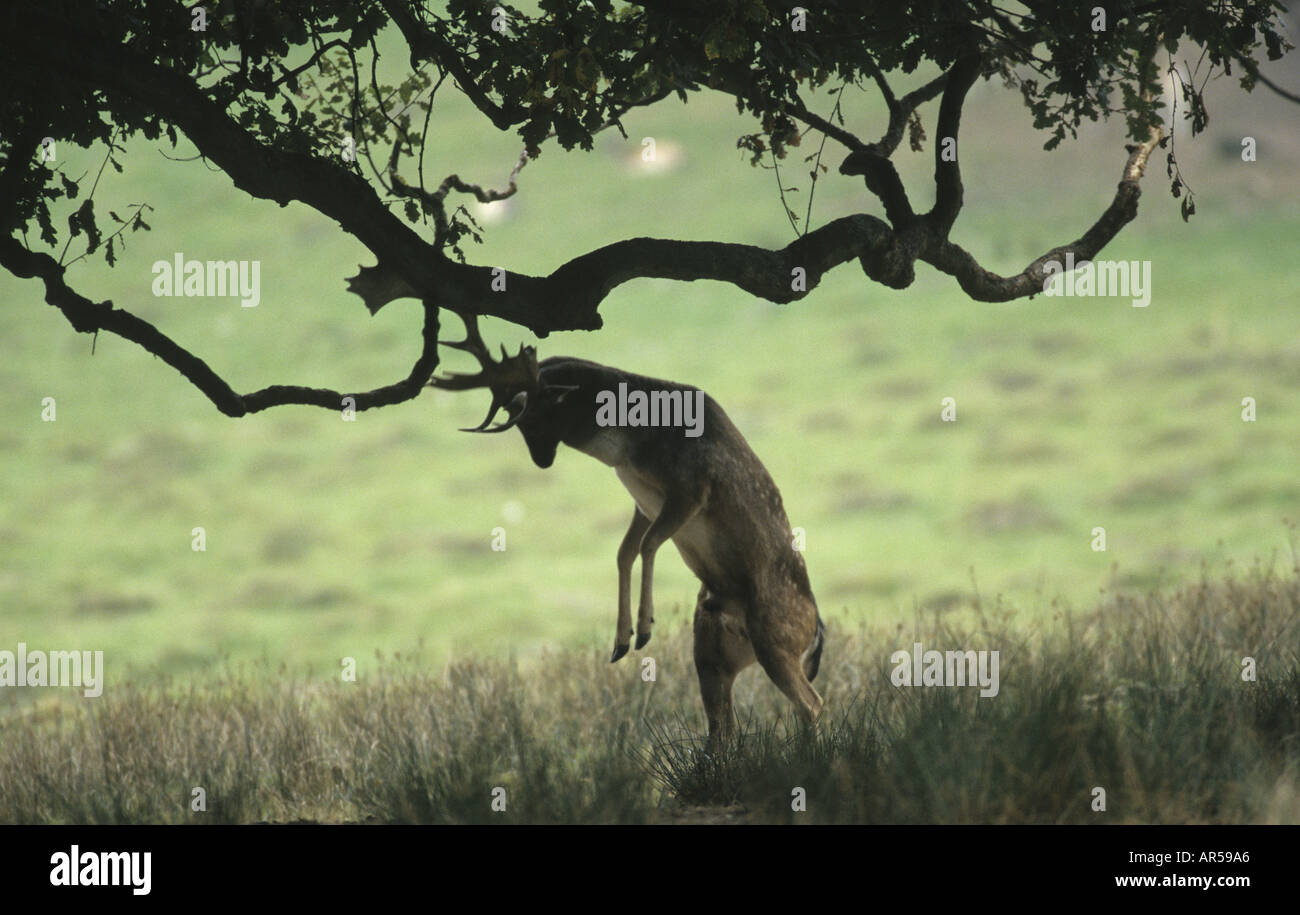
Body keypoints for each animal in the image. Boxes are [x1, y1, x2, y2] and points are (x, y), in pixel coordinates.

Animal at [428, 312, 825, 748]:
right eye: (516, 422)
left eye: (536, 412)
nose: (542, 461)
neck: (632, 447)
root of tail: (817, 631)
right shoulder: (642, 503)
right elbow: (624, 552)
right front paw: (621, 640)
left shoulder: (692, 488)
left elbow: (649, 545)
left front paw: (645, 629)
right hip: (713, 654)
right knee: (725, 727)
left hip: (774, 637)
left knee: (812, 704)